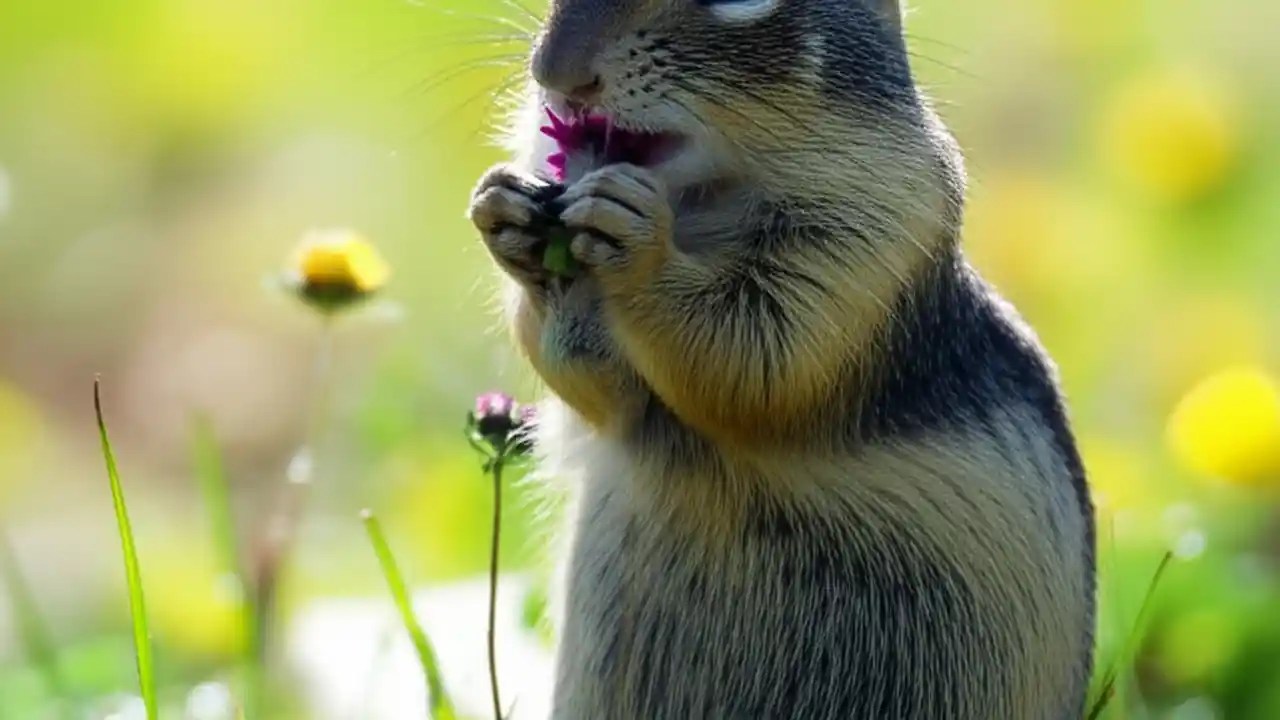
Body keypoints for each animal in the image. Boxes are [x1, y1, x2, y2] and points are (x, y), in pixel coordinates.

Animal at [468, 0, 1095, 718]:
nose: (557, 75)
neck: (707, 200)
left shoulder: (877, 234)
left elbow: (758, 357)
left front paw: (637, 238)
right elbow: (600, 390)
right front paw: (506, 214)